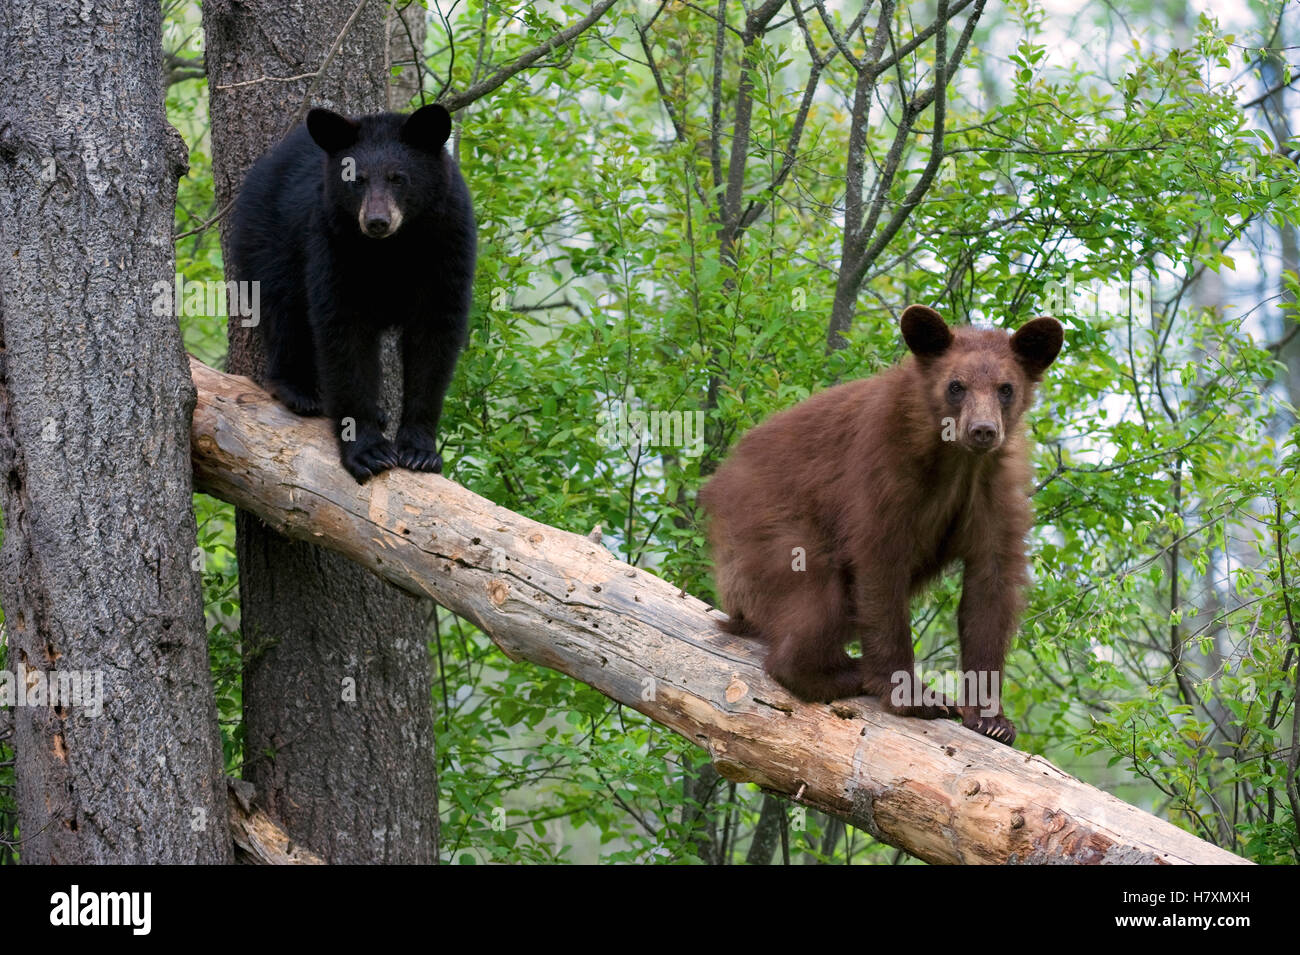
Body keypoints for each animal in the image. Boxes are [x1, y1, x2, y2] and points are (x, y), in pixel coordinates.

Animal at [227, 103, 476, 483]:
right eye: (355, 179)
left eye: (398, 177)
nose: (376, 221)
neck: (393, 248)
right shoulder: (333, 242)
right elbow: (343, 334)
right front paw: (368, 450)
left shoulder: (448, 243)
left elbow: (435, 337)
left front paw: (420, 451)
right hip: (270, 236)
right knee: (282, 308)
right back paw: (299, 390)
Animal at [698, 305, 1063, 745]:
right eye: (956, 386)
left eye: (1006, 388)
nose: (983, 430)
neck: (955, 460)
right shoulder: (884, 471)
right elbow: (880, 570)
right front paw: (911, 695)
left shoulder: (993, 492)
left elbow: (990, 587)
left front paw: (991, 718)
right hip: (768, 525)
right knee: (815, 598)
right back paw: (841, 671)